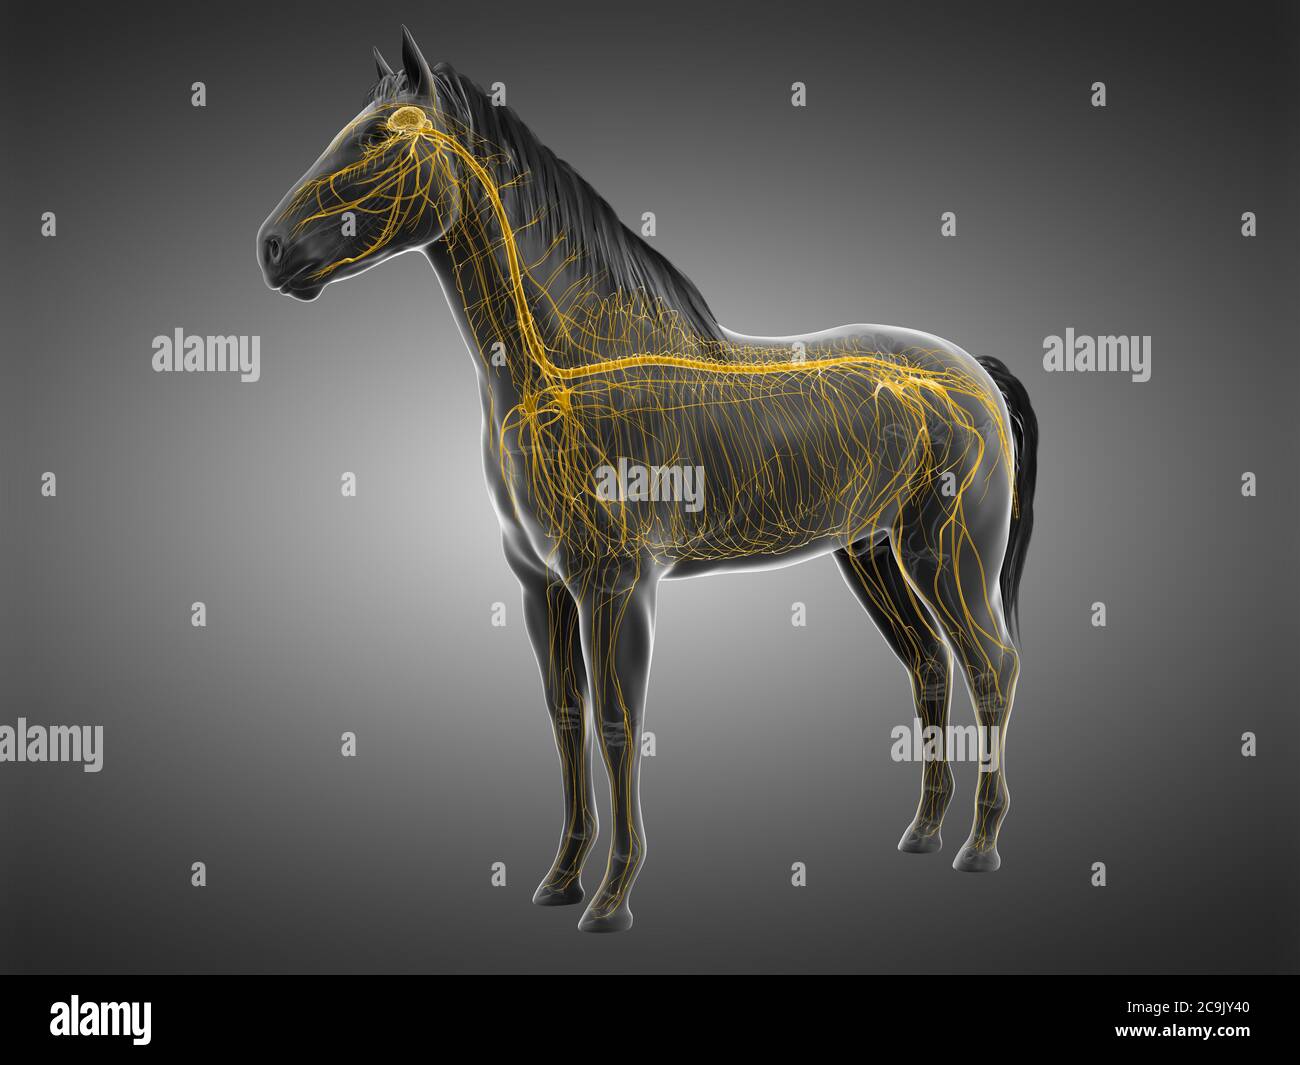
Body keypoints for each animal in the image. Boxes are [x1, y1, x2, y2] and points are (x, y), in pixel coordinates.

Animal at [257, 27, 1039, 933]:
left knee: (991, 667)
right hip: (873, 556)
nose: (271, 249)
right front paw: (560, 880)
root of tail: (972, 372)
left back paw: (979, 844)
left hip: (946, 555)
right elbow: (566, 719)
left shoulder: (616, 584)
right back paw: (921, 830)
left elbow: (617, 725)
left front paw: (611, 900)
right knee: (929, 666)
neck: (568, 371)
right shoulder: (542, 586)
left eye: (379, 137)